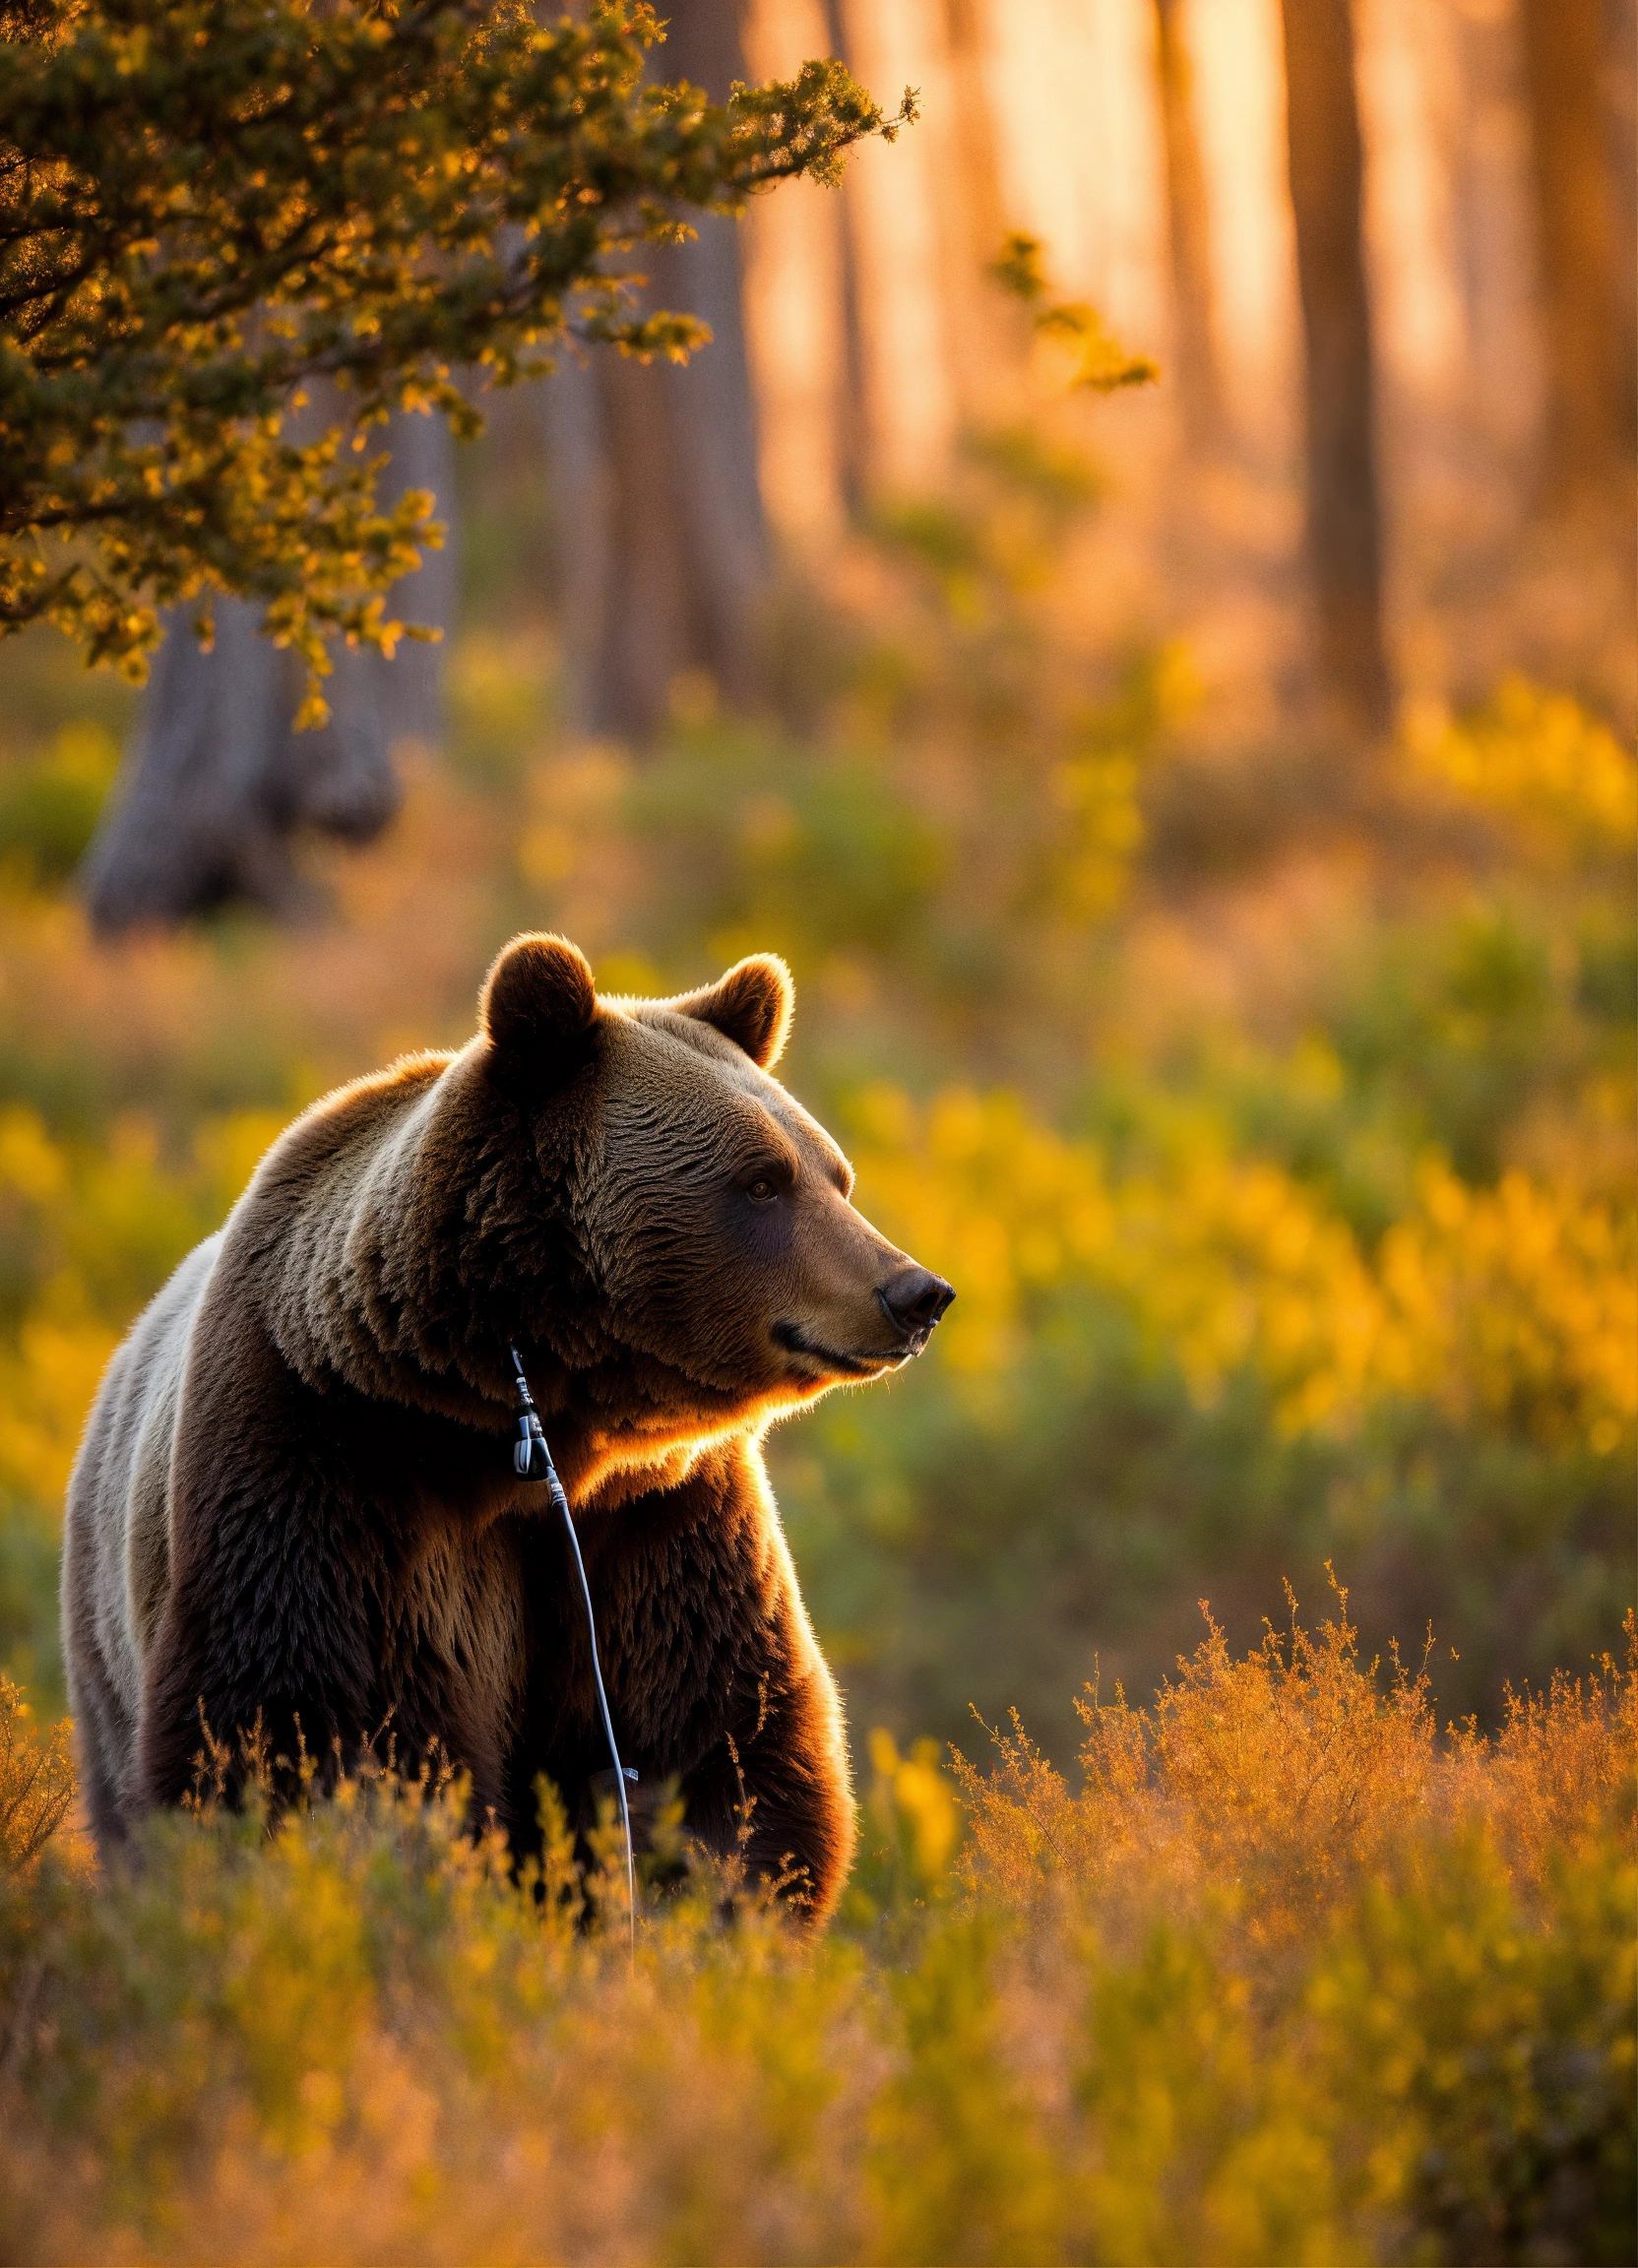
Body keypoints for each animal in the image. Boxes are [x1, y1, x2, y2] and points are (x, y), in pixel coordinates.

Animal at [61, 934, 953, 1921]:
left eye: (835, 1175)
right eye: (763, 1180)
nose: (915, 1292)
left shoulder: (662, 1514)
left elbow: (726, 1741)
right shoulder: (323, 1466)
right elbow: (297, 1737)